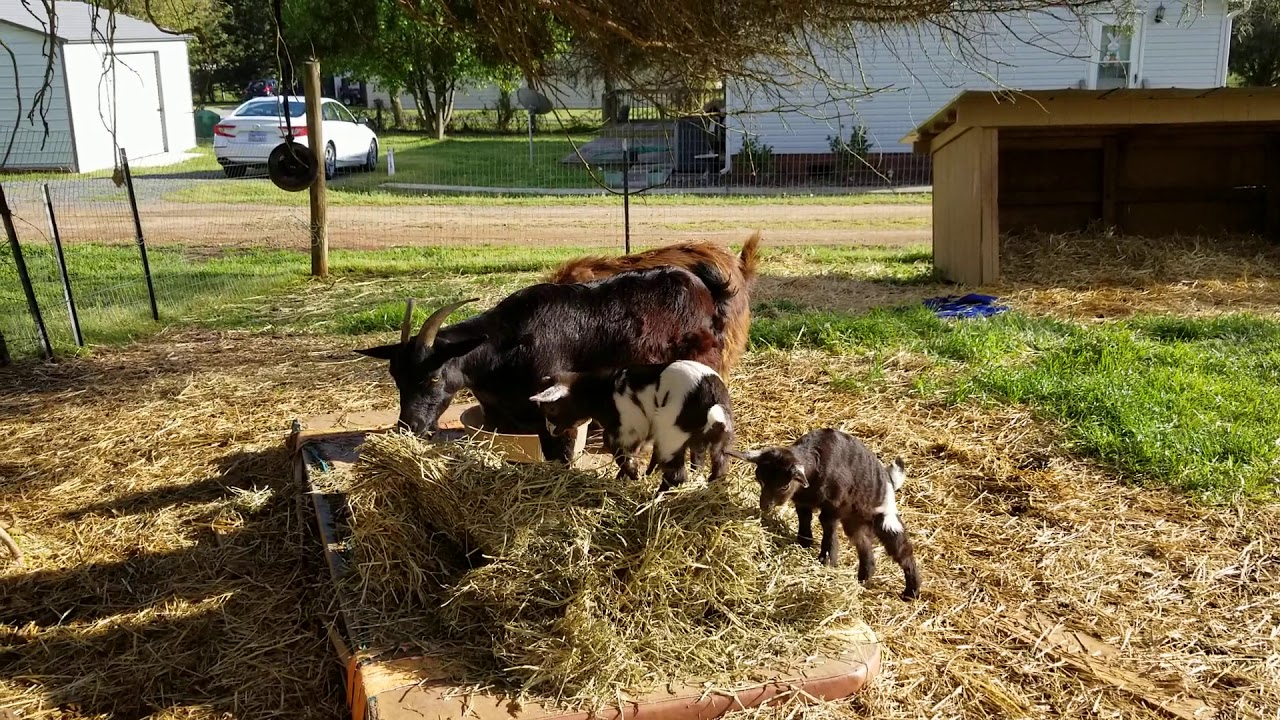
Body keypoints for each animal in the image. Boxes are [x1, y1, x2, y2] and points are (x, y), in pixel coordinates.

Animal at [354, 266, 729, 462]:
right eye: (396, 377)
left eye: (433, 377)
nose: (410, 426)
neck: (503, 345)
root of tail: (704, 288)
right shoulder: (497, 414)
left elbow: (558, 454)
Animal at [529, 360, 735, 494]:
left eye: (551, 409)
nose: (551, 431)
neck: (602, 391)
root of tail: (712, 398)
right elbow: (632, 452)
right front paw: (627, 477)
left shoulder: (630, 424)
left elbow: (615, 447)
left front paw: (632, 474)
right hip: (717, 439)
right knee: (715, 465)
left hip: (672, 434)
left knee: (677, 475)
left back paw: (653, 500)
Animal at [731, 429, 921, 600]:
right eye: (760, 481)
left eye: (784, 486)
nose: (764, 506)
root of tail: (887, 479)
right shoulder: (803, 502)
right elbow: (804, 519)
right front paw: (804, 542)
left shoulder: (834, 505)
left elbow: (827, 526)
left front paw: (827, 559)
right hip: (855, 522)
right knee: (865, 546)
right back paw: (863, 580)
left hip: (884, 514)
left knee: (902, 548)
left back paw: (911, 592)